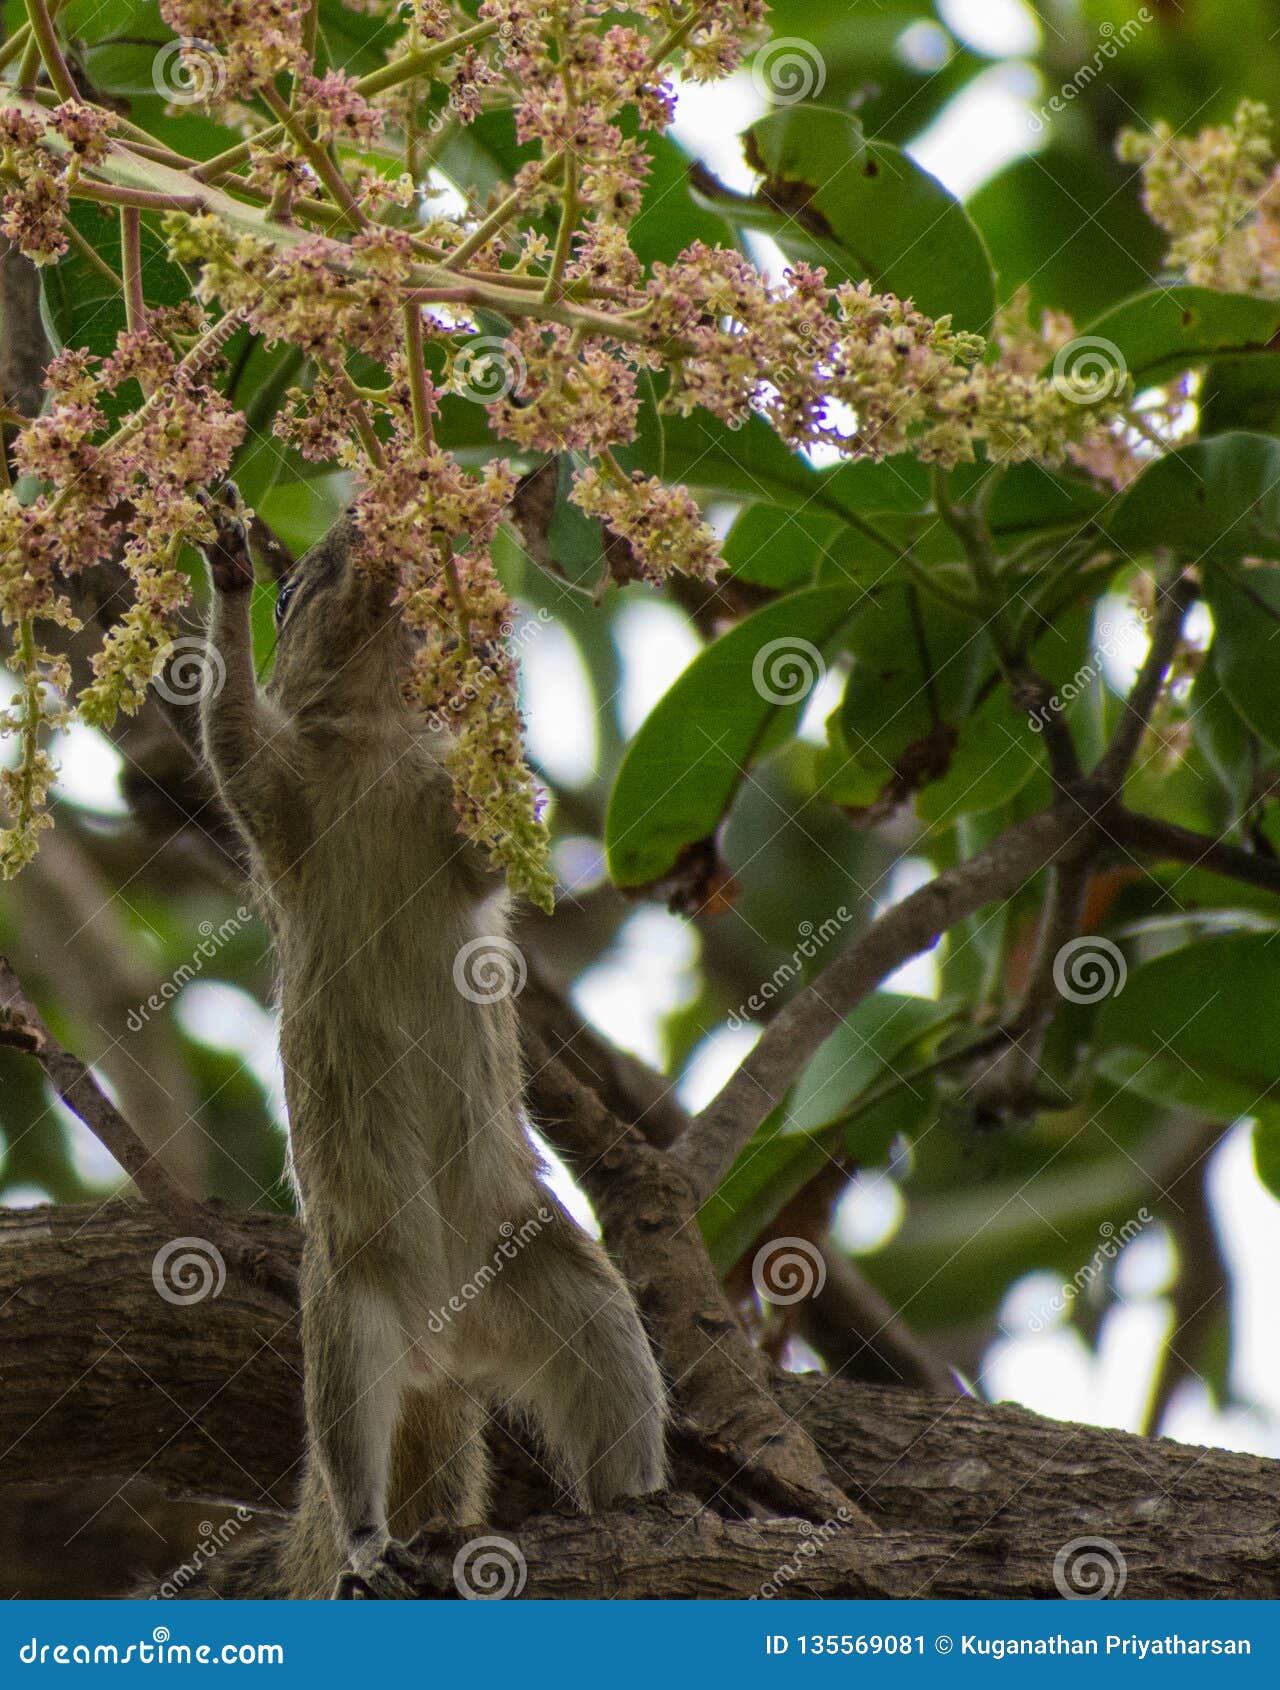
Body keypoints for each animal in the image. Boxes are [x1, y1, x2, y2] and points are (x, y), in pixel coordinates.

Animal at [192, 484, 667, 1598]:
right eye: (294, 585)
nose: (377, 527)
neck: (372, 738)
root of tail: (446, 1354)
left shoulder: (448, 824)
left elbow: (490, 844)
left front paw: (487, 659)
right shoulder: (277, 804)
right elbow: (226, 727)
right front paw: (226, 577)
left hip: (568, 1288)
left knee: (616, 1395)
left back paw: (641, 1502)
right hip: (349, 1312)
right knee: (347, 1444)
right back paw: (370, 1543)